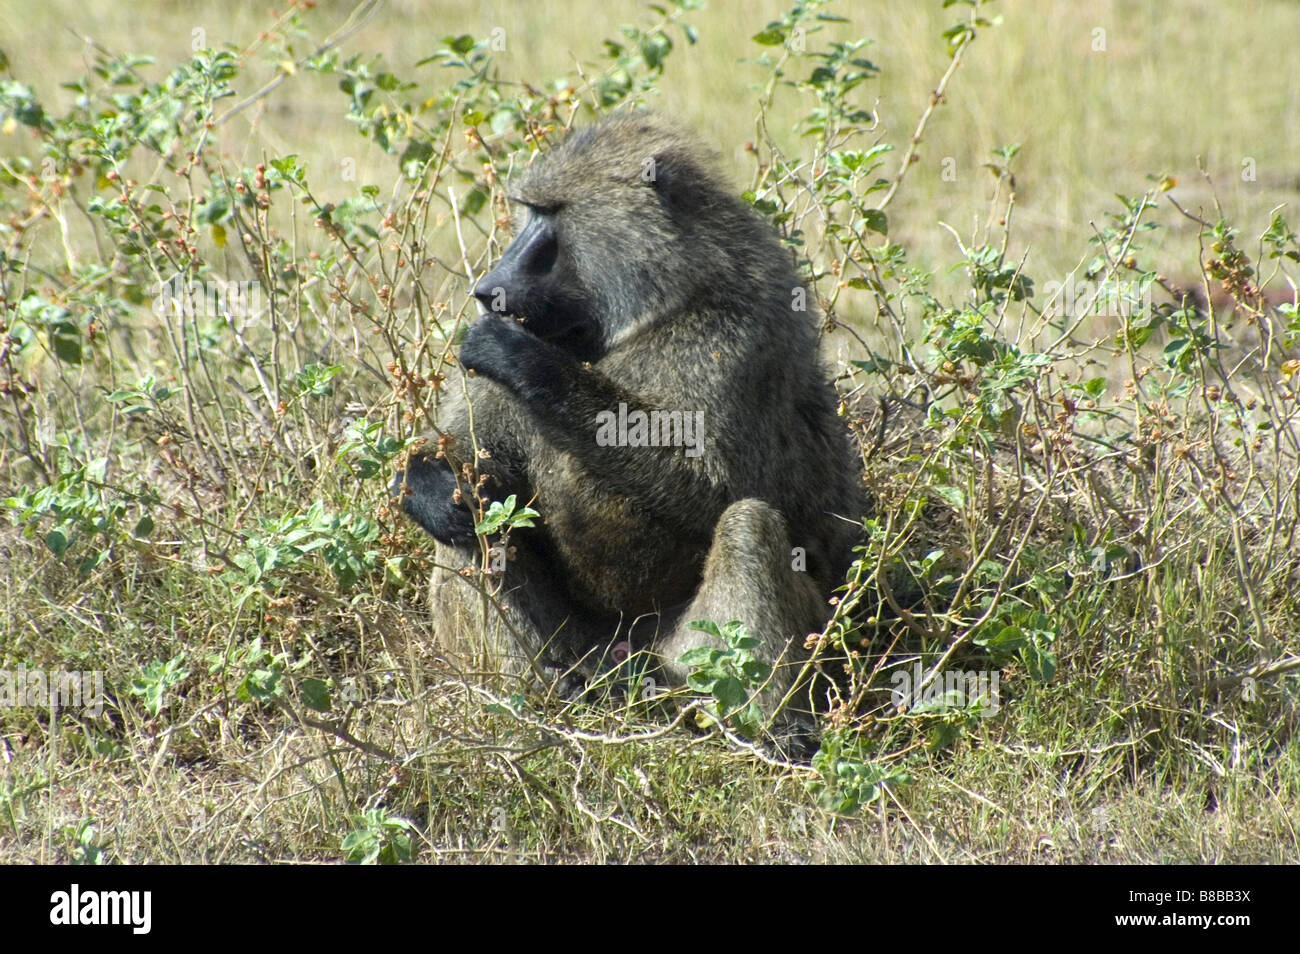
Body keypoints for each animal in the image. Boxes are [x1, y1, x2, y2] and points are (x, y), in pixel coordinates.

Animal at [394, 112, 865, 757]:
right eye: (528, 213)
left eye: (550, 216)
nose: (488, 290)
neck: (656, 307)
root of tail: (630, 660)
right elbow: (458, 462)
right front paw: (433, 488)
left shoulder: (738, 338)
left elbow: (715, 488)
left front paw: (528, 363)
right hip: (583, 648)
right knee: (472, 528)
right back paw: (537, 701)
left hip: (700, 654)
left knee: (748, 527)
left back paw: (775, 736)